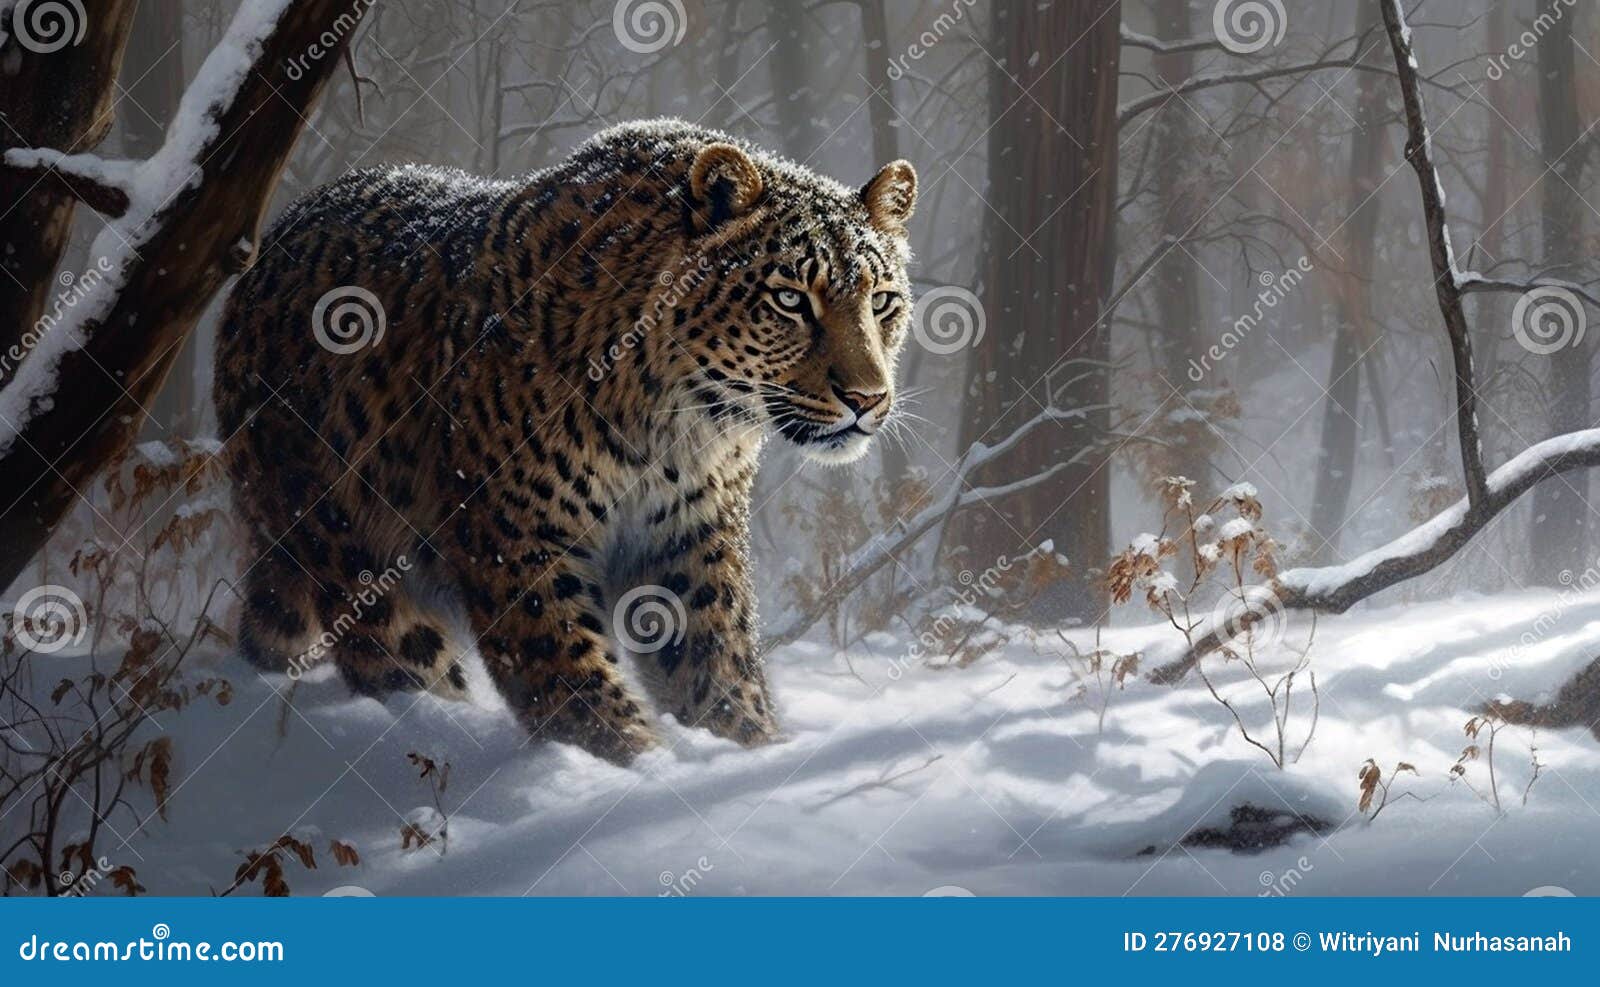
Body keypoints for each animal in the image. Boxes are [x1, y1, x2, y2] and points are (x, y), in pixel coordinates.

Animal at [213, 119, 918, 764]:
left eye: (882, 302)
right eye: (790, 300)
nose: (867, 399)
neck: (682, 423)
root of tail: (265, 253)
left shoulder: (689, 540)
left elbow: (716, 667)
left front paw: (750, 751)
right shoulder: (519, 548)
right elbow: (575, 687)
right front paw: (639, 774)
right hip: (343, 542)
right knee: (396, 655)